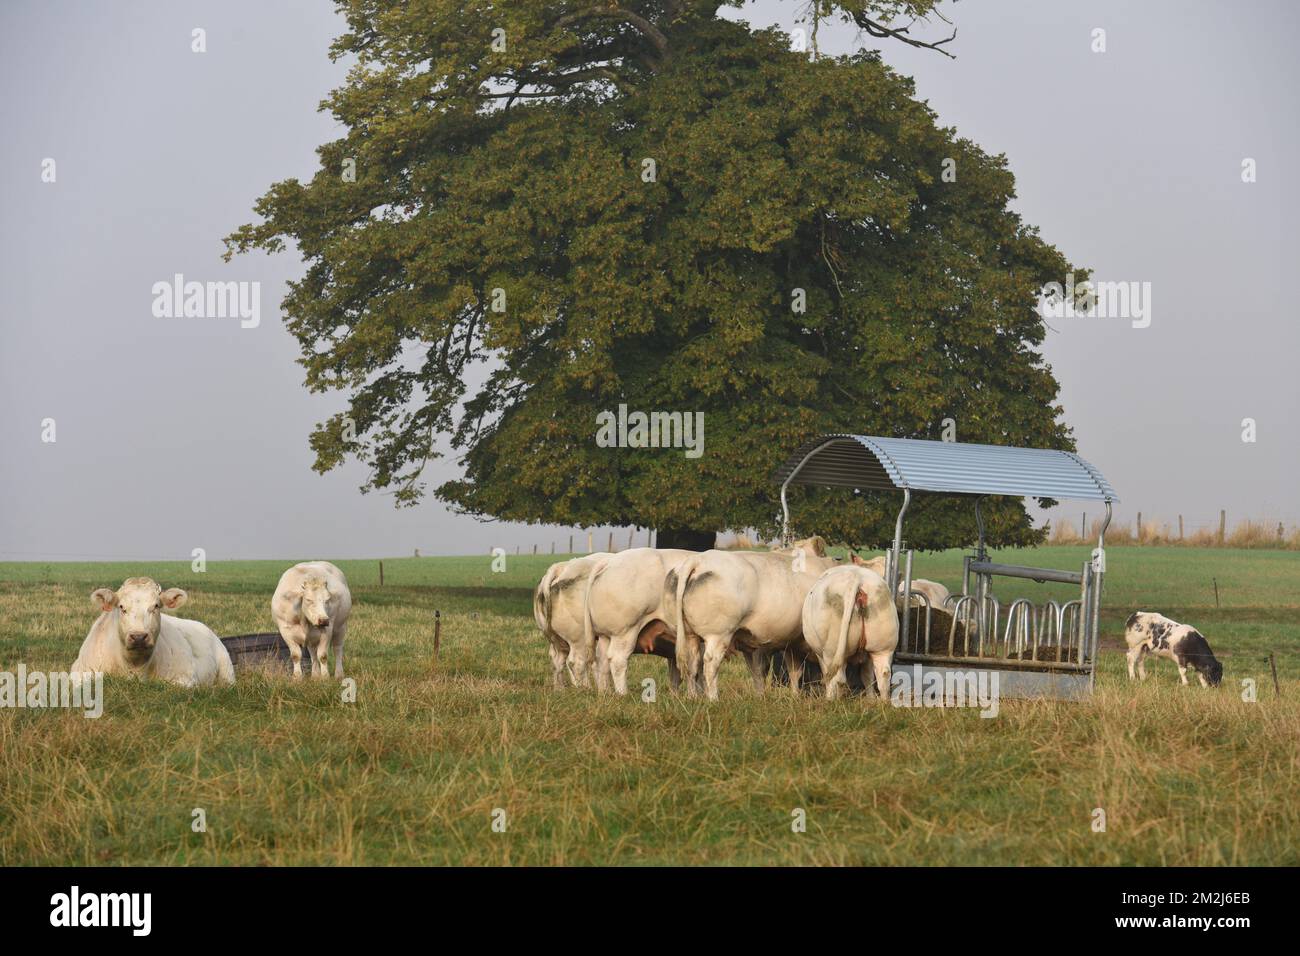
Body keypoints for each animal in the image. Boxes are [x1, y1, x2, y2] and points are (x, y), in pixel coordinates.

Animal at [72, 577, 234, 687]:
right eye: (122, 607)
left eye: (156, 606)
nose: (138, 637)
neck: (135, 666)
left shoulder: (185, 678)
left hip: (227, 674)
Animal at [533, 554, 605, 688]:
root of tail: (559, 568)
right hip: (579, 636)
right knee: (576, 661)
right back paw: (586, 688)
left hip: (557, 638)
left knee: (557, 660)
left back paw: (560, 688)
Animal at [582, 548, 694, 694]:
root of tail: (609, 561)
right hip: (625, 630)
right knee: (618, 659)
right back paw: (623, 694)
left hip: (606, 634)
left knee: (602, 660)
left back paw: (605, 693)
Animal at [667, 537, 837, 700]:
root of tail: (698, 560)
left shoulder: (788, 641)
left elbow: (787, 672)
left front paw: (791, 697)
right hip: (718, 635)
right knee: (710, 664)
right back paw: (713, 699)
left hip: (690, 635)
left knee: (692, 665)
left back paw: (692, 697)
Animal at [792, 560, 898, 699]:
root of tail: (856, 578)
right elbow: (867, 675)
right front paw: (870, 699)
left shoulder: (821, 655)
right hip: (883, 647)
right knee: (883, 674)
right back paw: (882, 701)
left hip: (832, 649)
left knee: (837, 678)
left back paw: (831, 699)